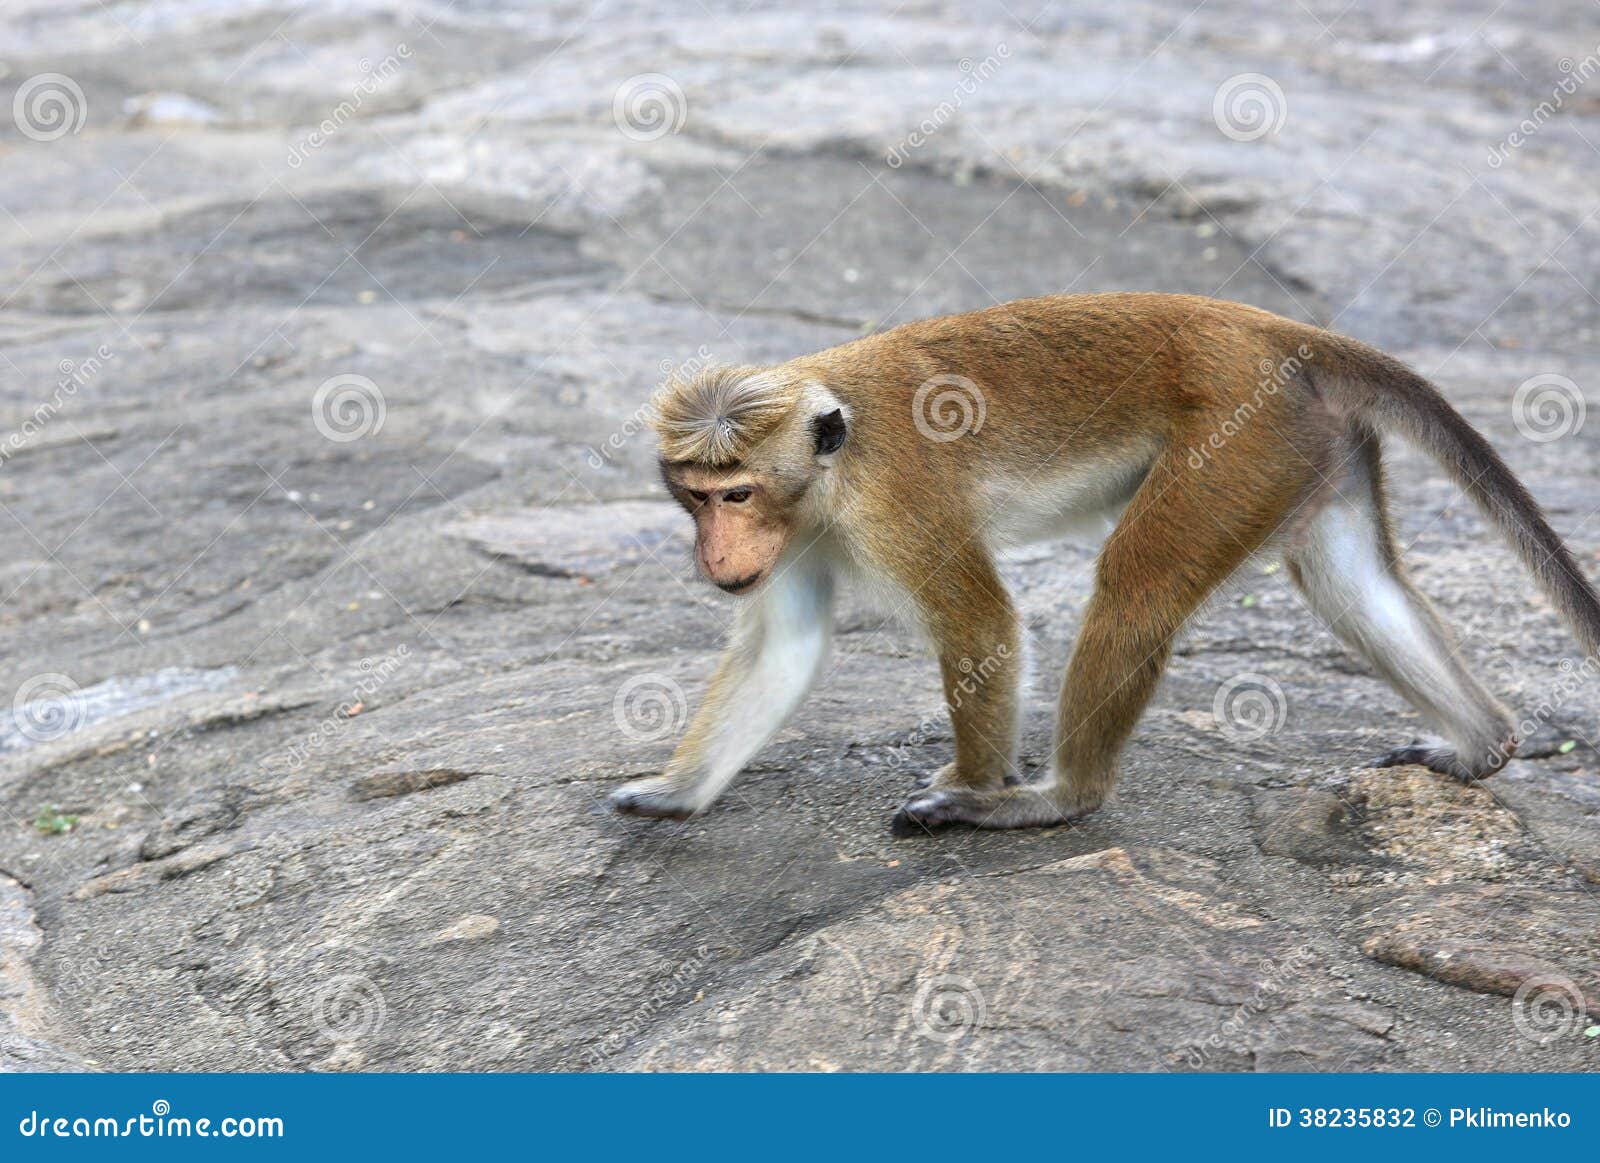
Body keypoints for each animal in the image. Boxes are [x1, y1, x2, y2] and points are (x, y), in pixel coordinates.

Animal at [606, 292, 1600, 835]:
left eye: (735, 494)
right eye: (694, 496)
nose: (714, 552)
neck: (828, 465)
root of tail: (1281, 334)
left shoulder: (897, 502)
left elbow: (980, 625)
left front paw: (976, 783)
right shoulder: (808, 532)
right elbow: (784, 647)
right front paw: (678, 792)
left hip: (1236, 438)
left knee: (1137, 585)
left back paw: (1059, 797)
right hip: (1303, 444)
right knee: (1347, 577)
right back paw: (1483, 743)